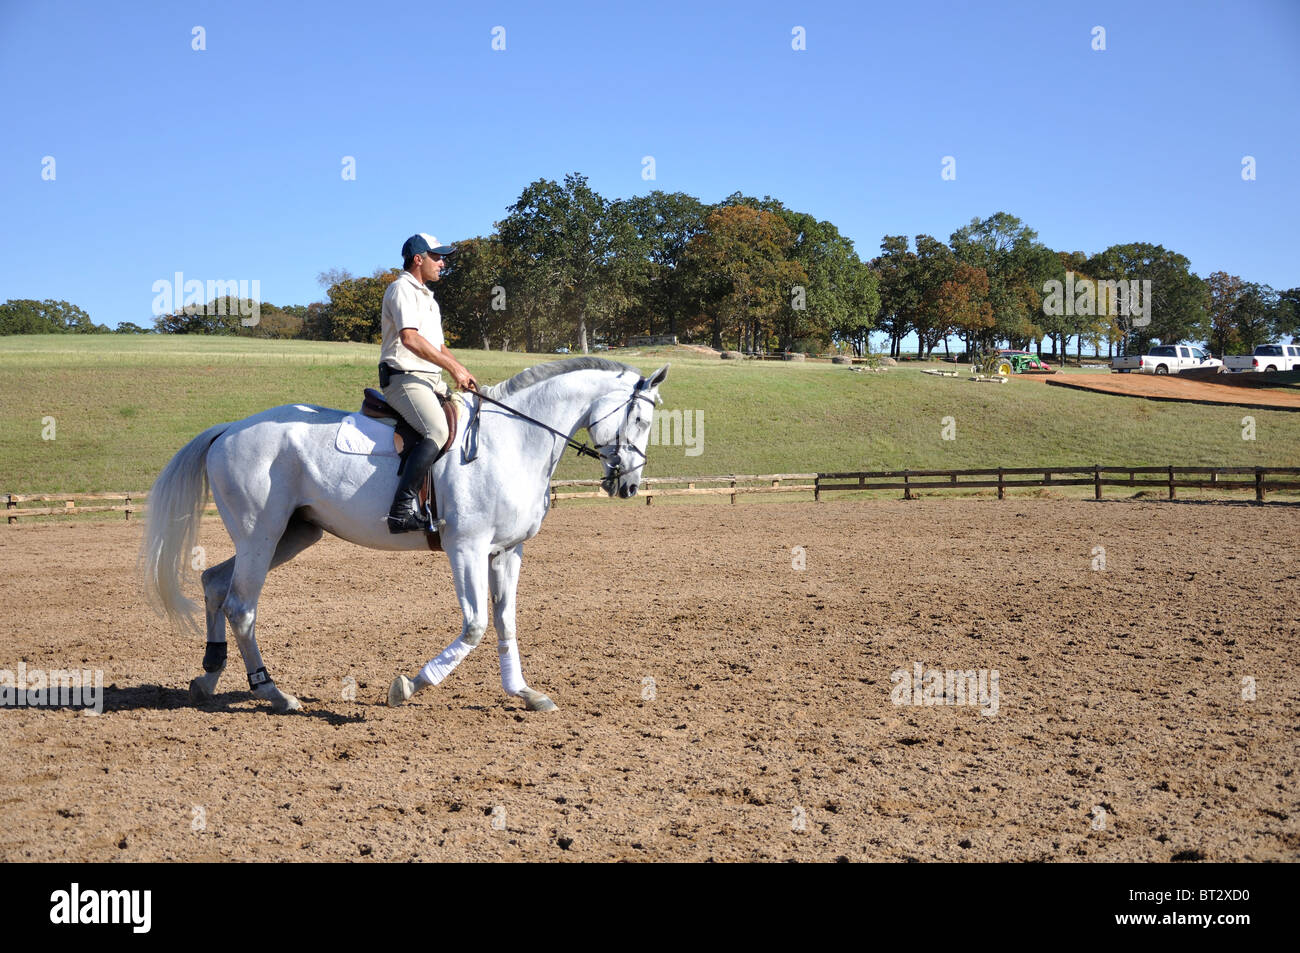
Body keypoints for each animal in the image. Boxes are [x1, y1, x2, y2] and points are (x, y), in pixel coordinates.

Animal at [139, 357, 669, 714]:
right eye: (641, 419)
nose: (630, 485)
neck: (515, 440)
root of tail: (229, 429)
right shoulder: (466, 547)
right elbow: (475, 624)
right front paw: (409, 686)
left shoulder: (506, 552)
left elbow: (505, 621)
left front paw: (524, 693)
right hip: (261, 535)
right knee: (241, 606)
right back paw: (273, 692)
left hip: (290, 535)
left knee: (214, 582)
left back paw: (209, 678)